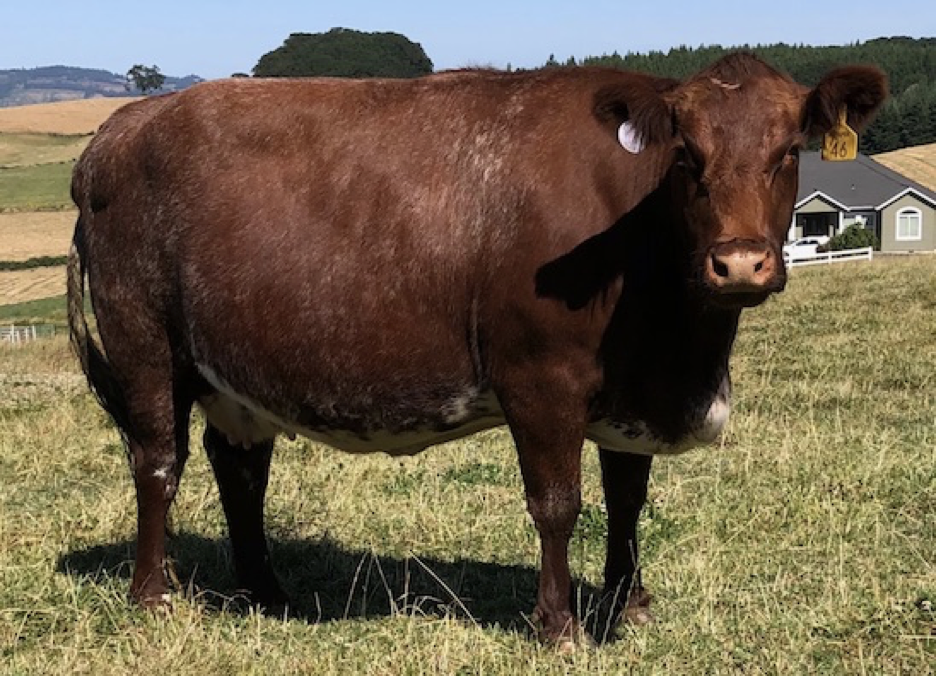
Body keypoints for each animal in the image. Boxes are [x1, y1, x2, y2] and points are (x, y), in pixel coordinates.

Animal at [67, 53, 886, 648]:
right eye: (687, 155)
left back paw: (266, 591)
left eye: (789, 151)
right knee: (158, 463)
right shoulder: (540, 381)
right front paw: (558, 626)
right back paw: (153, 596)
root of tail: (124, 124)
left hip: (233, 372)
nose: (740, 263)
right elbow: (558, 505)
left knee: (238, 469)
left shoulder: (630, 394)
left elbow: (627, 499)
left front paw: (629, 602)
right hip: (144, 341)